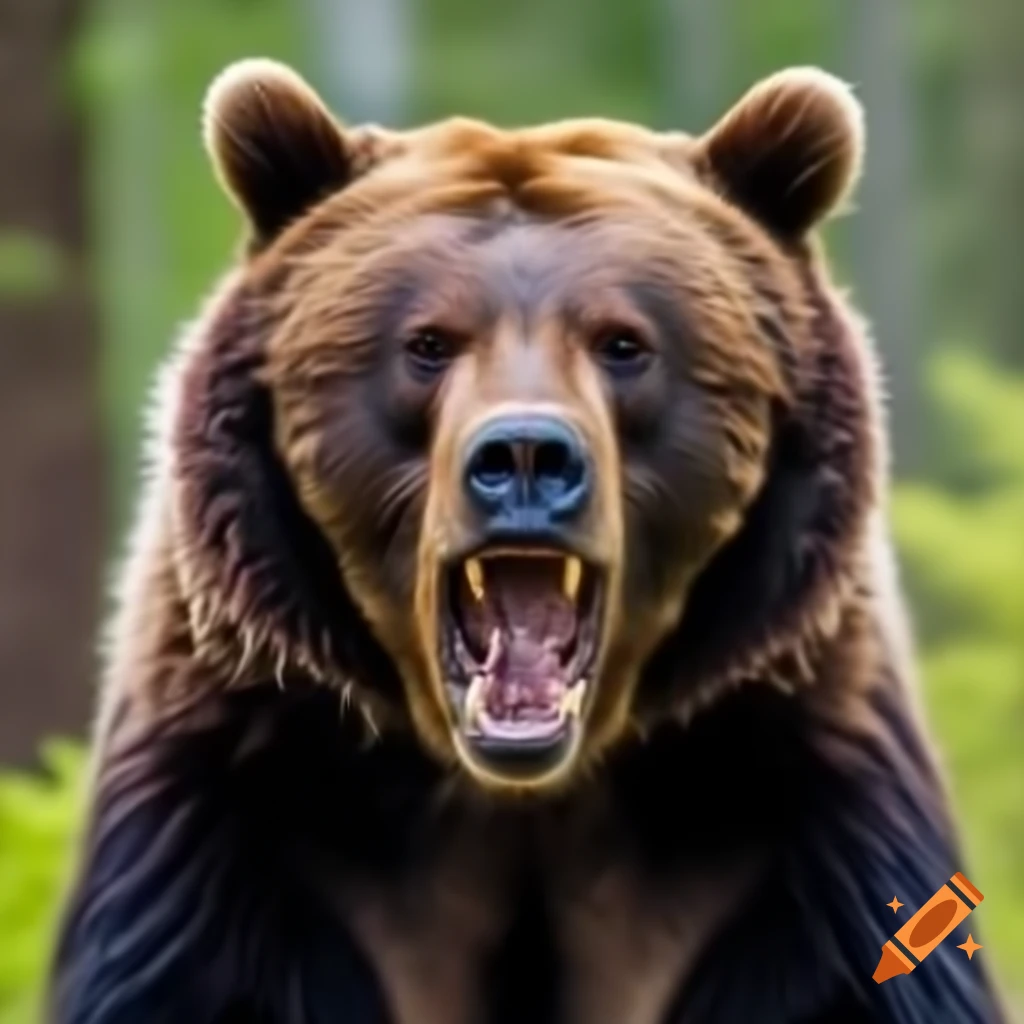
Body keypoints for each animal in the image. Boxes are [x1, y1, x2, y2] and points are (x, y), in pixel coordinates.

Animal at [48, 59, 1006, 1024]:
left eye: (624, 343)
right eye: (427, 344)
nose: (524, 455)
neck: (518, 789)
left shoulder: (793, 835)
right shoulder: (236, 828)